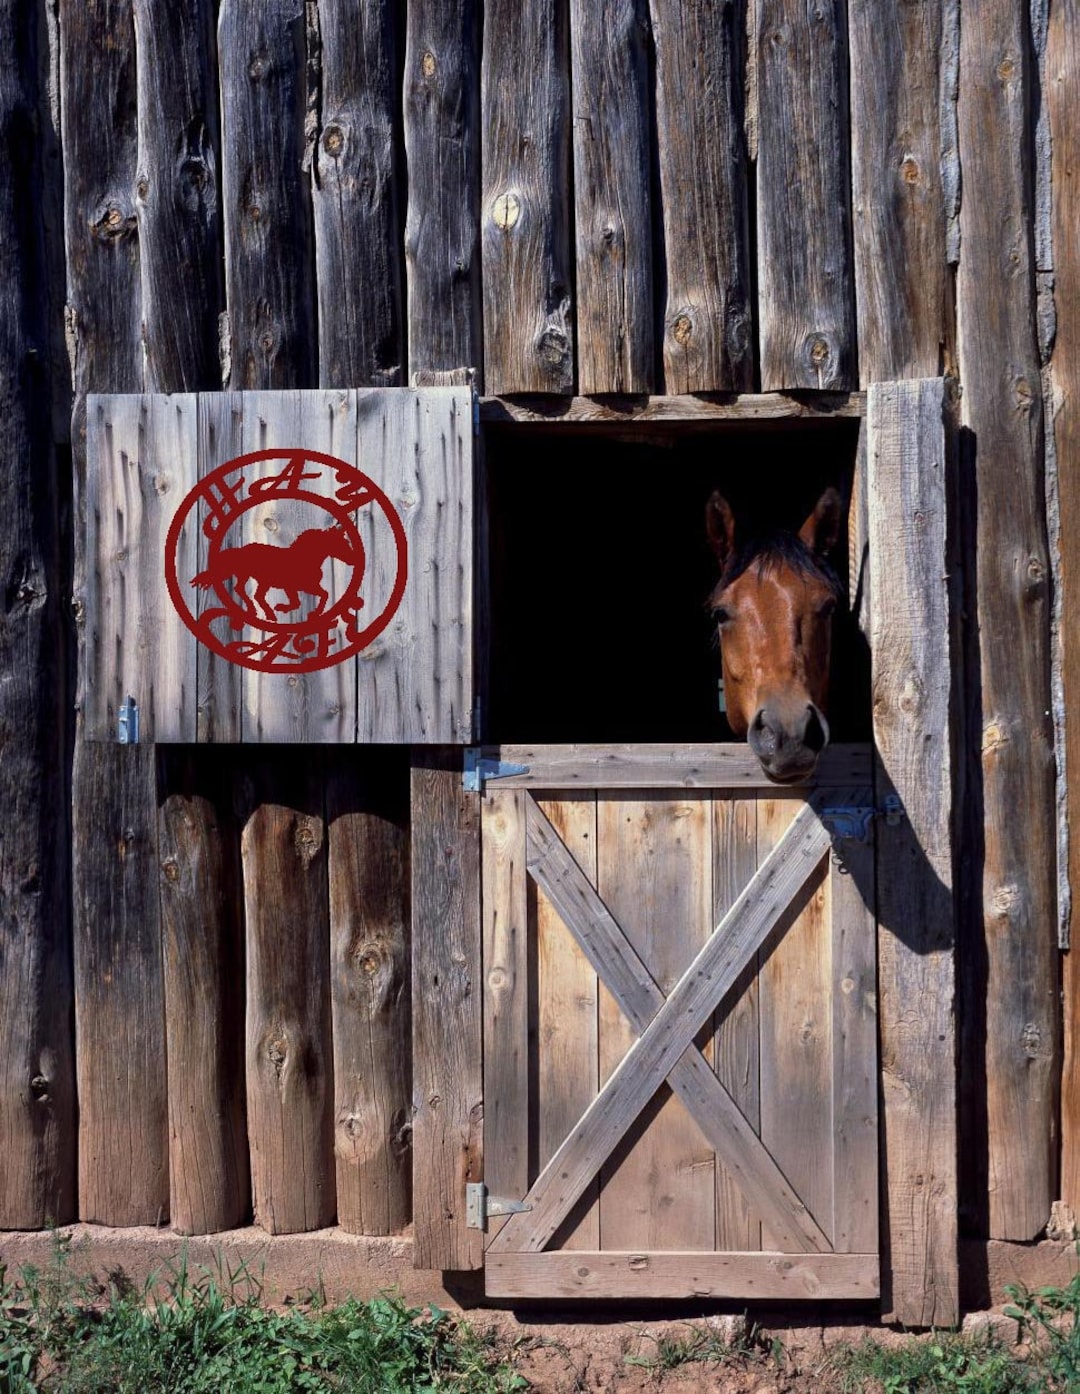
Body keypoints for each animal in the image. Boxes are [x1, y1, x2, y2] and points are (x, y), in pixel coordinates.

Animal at [192, 523, 360, 624]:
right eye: (342, 543)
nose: (354, 559)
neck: (306, 559)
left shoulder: (295, 588)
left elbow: (302, 601)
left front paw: (287, 609)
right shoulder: (302, 586)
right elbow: (322, 595)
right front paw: (311, 613)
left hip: (259, 580)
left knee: (250, 593)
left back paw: (264, 613)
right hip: (254, 578)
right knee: (249, 592)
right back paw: (264, 613)